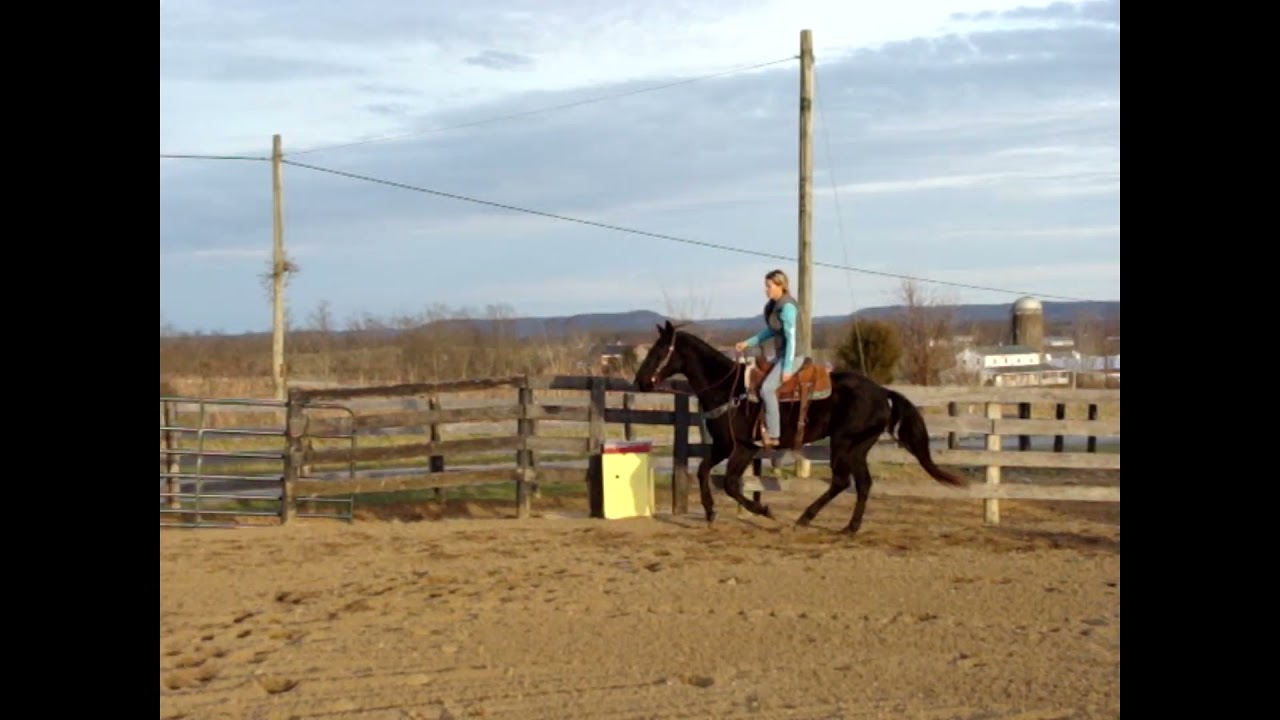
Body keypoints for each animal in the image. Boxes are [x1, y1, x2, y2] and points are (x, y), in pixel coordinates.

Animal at [631, 320, 969, 536]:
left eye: (658, 352)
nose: (639, 382)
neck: (728, 388)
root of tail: (881, 392)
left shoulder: (735, 447)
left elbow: (724, 481)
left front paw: (763, 511)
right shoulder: (733, 447)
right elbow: (713, 476)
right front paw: (712, 512)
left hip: (843, 443)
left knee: (841, 481)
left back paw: (806, 518)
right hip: (858, 446)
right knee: (862, 484)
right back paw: (849, 527)